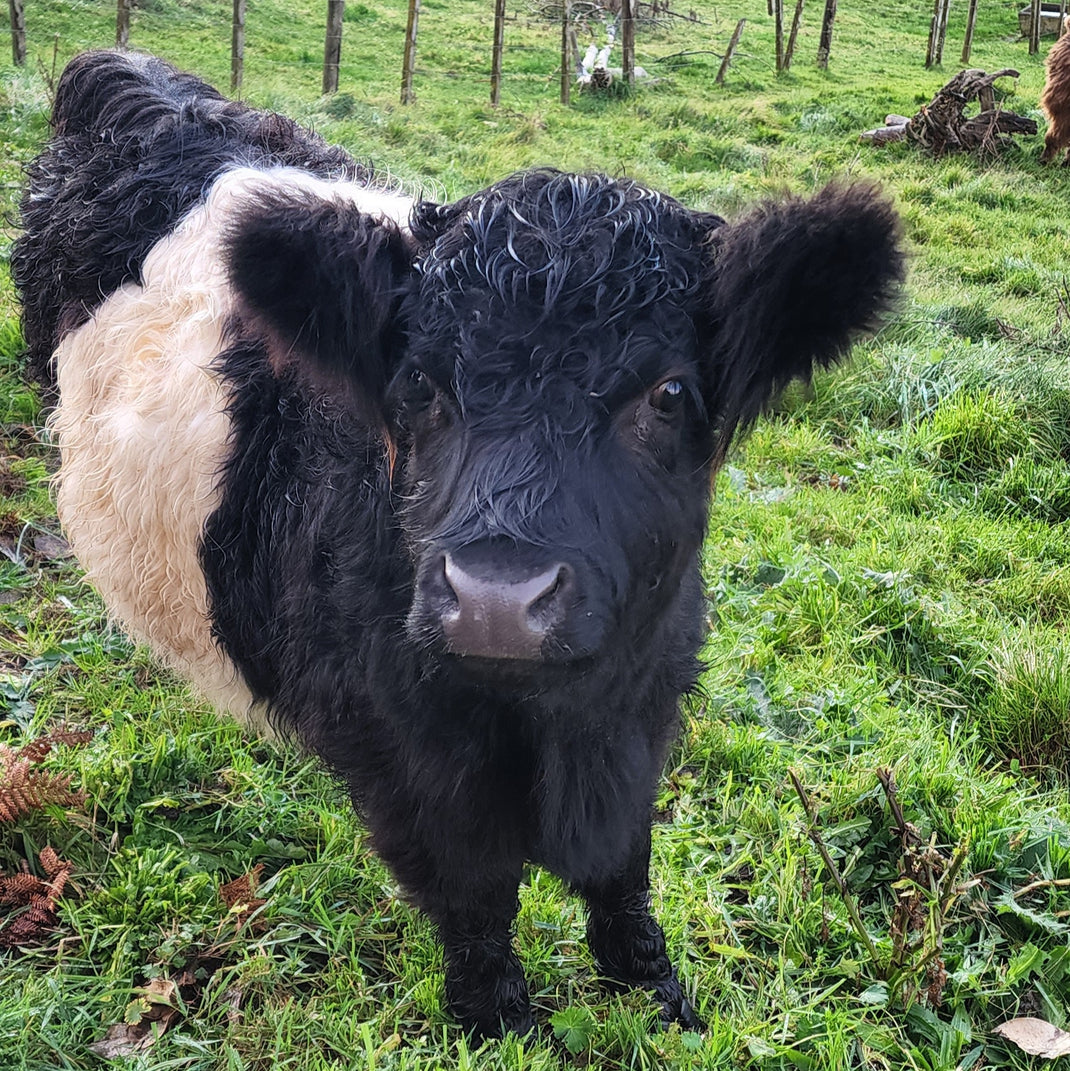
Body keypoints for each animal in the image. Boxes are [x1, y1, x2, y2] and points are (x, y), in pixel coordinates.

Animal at [13, 50, 905, 1040]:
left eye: (669, 393)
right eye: (418, 383)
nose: (496, 598)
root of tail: (133, 82)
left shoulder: (645, 699)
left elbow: (623, 869)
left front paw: (656, 990)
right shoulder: (408, 751)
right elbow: (474, 893)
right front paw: (502, 1023)